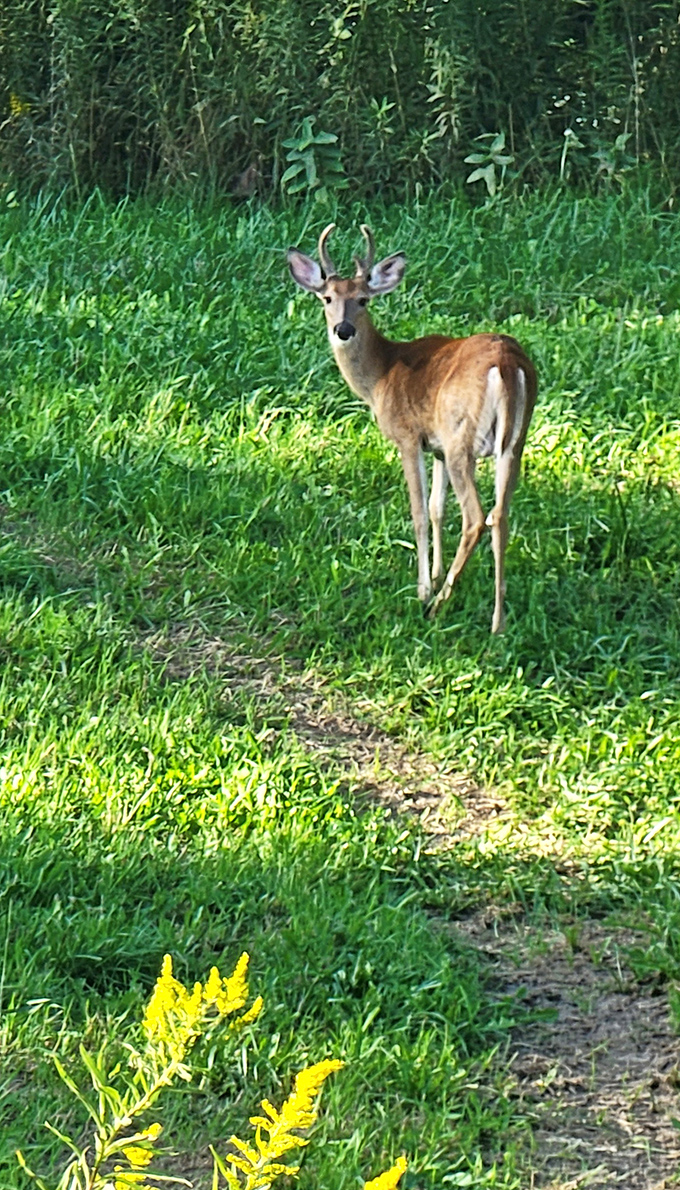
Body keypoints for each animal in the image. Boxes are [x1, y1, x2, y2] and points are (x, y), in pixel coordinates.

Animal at [287, 223, 537, 634]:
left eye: (363, 299)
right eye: (327, 297)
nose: (343, 329)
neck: (382, 374)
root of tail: (506, 363)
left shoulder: (407, 437)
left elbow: (418, 511)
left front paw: (423, 588)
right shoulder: (435, 446)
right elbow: (437, 508)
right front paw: (434, 573)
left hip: (462, 439)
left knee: (475, 517)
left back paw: (438, 606)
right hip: (513, 443)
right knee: (500, 515)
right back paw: (497, 623)